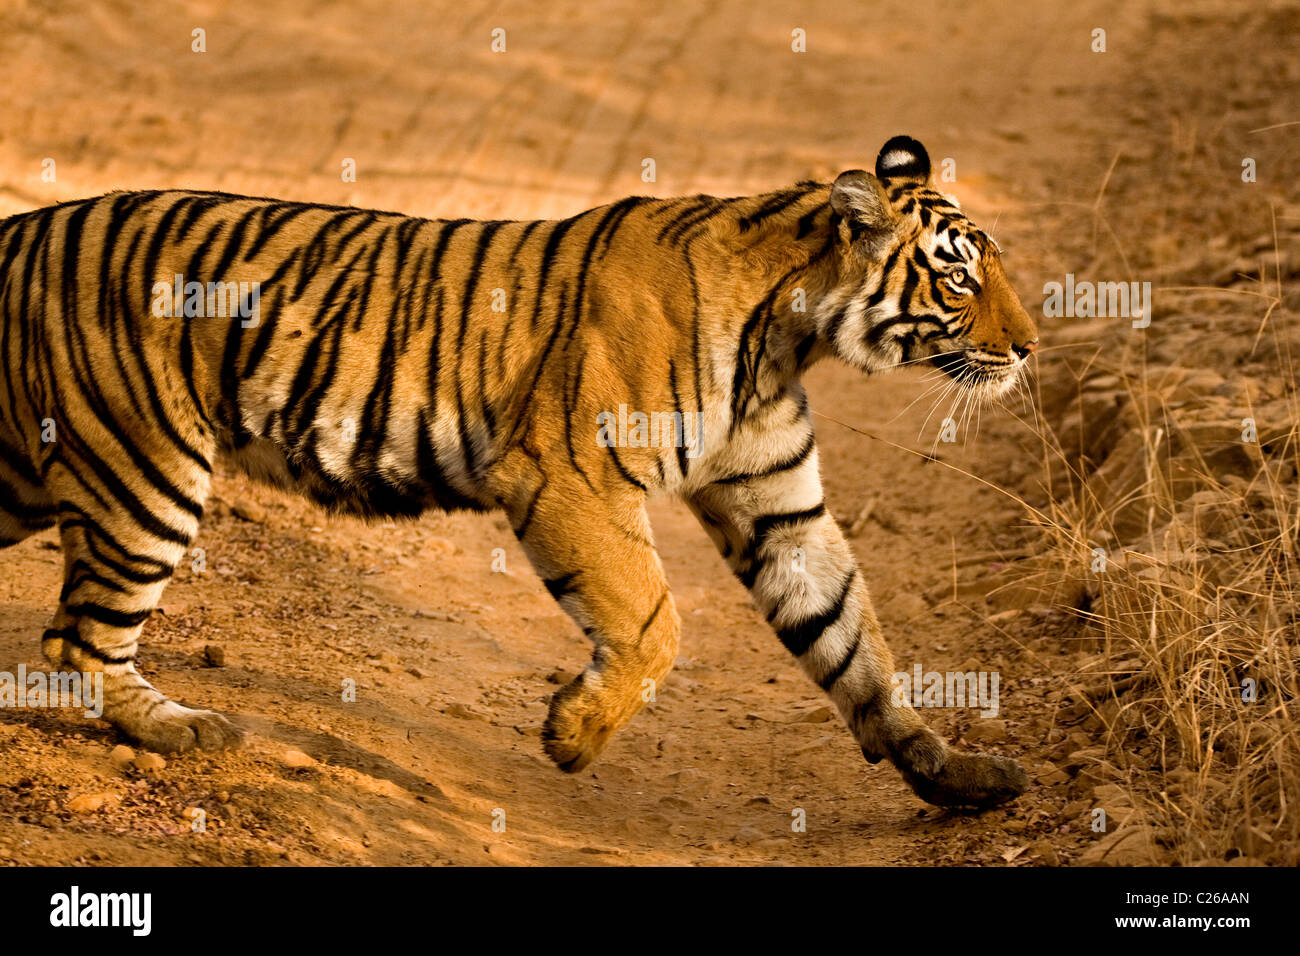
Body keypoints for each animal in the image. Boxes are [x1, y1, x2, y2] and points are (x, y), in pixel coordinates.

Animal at [0, 135, 1037, 809]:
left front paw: (950, 771)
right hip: (148, 472)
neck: (790, 335)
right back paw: (184, 730)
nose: (1029, 347)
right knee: (77, 641)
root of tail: (27, 229)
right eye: (959, 278)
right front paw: (573, 737)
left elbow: (855, 638)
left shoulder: (780, 503)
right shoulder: (572, 473)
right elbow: (654, 623)